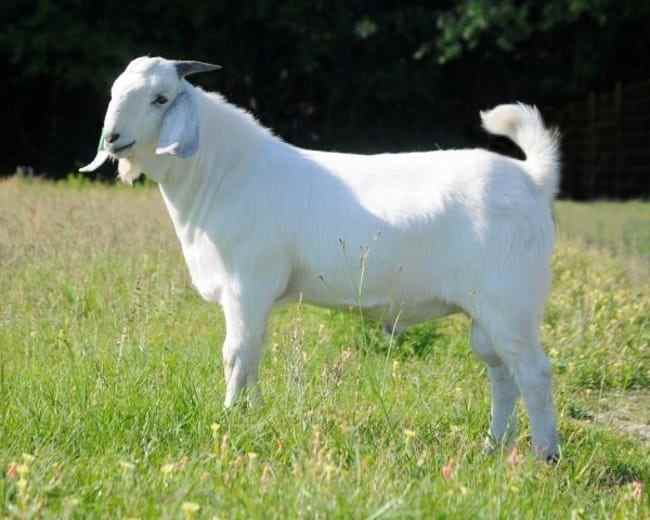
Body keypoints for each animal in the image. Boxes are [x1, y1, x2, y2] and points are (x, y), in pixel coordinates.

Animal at [81, 56, 561, 461]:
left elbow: (235, 354)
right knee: (501, 374)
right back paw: (493, 446)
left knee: (534, 373)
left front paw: (229, 418)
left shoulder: (246, 285)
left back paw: (545, 456)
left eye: (161, 97)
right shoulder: (257, 297)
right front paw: (253, 413)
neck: (226, 172)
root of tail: (533, 178)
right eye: (114, 91)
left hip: (511, 303)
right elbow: (253, 354)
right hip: (489, 313)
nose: (113, 139)